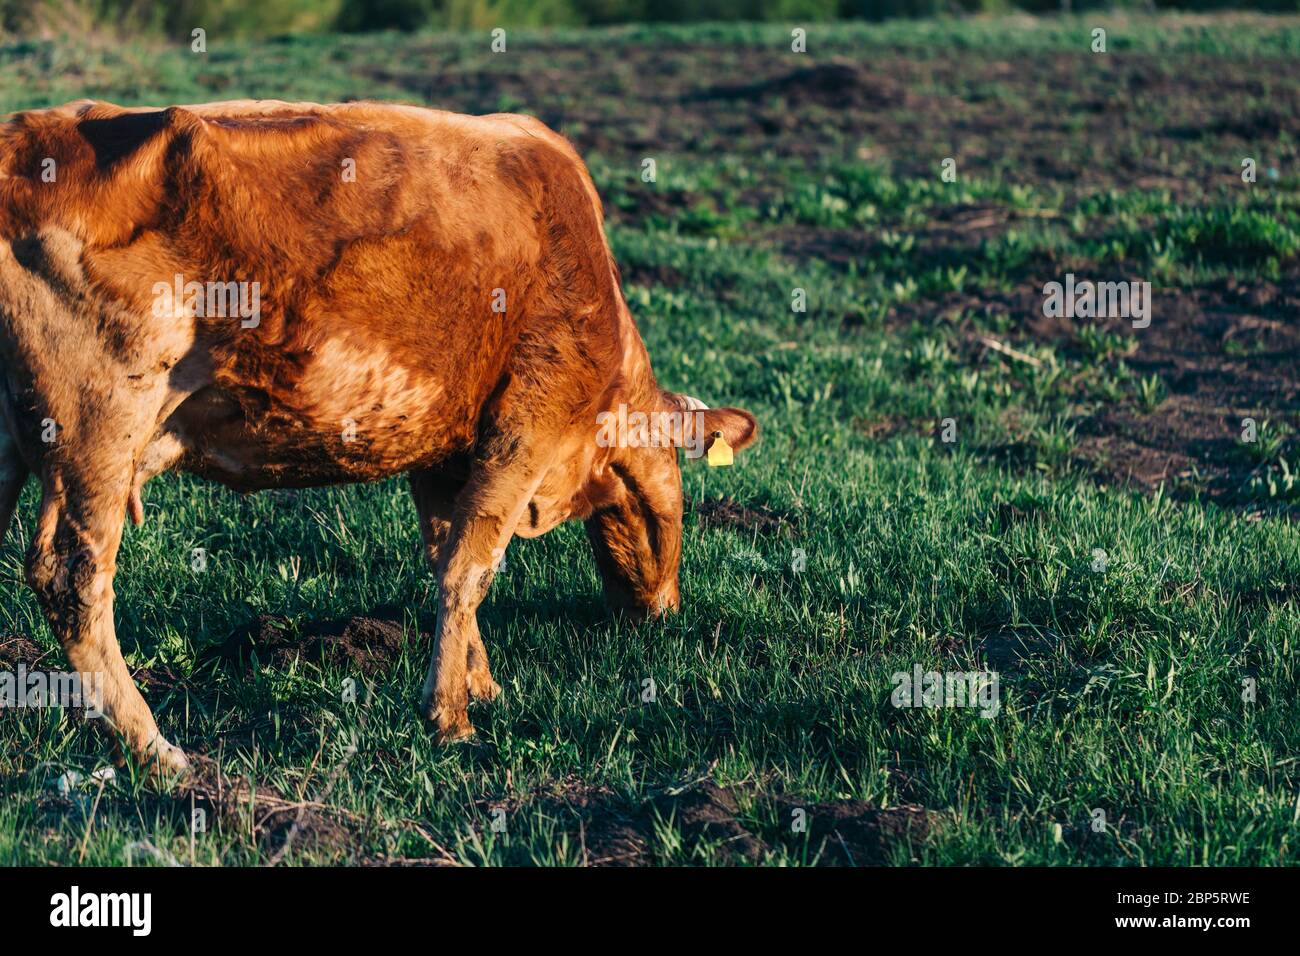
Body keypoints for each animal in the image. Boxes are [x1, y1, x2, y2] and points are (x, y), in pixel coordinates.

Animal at [0, 100, 757, 775]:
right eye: (675, 508)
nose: (661, 615)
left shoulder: (446, 451)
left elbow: (446, 555)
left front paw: (480, 684)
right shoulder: (526, 425)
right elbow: (471, 567)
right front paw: (450, 718)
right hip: (100, 424)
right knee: (71, 578)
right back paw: (155, 750)